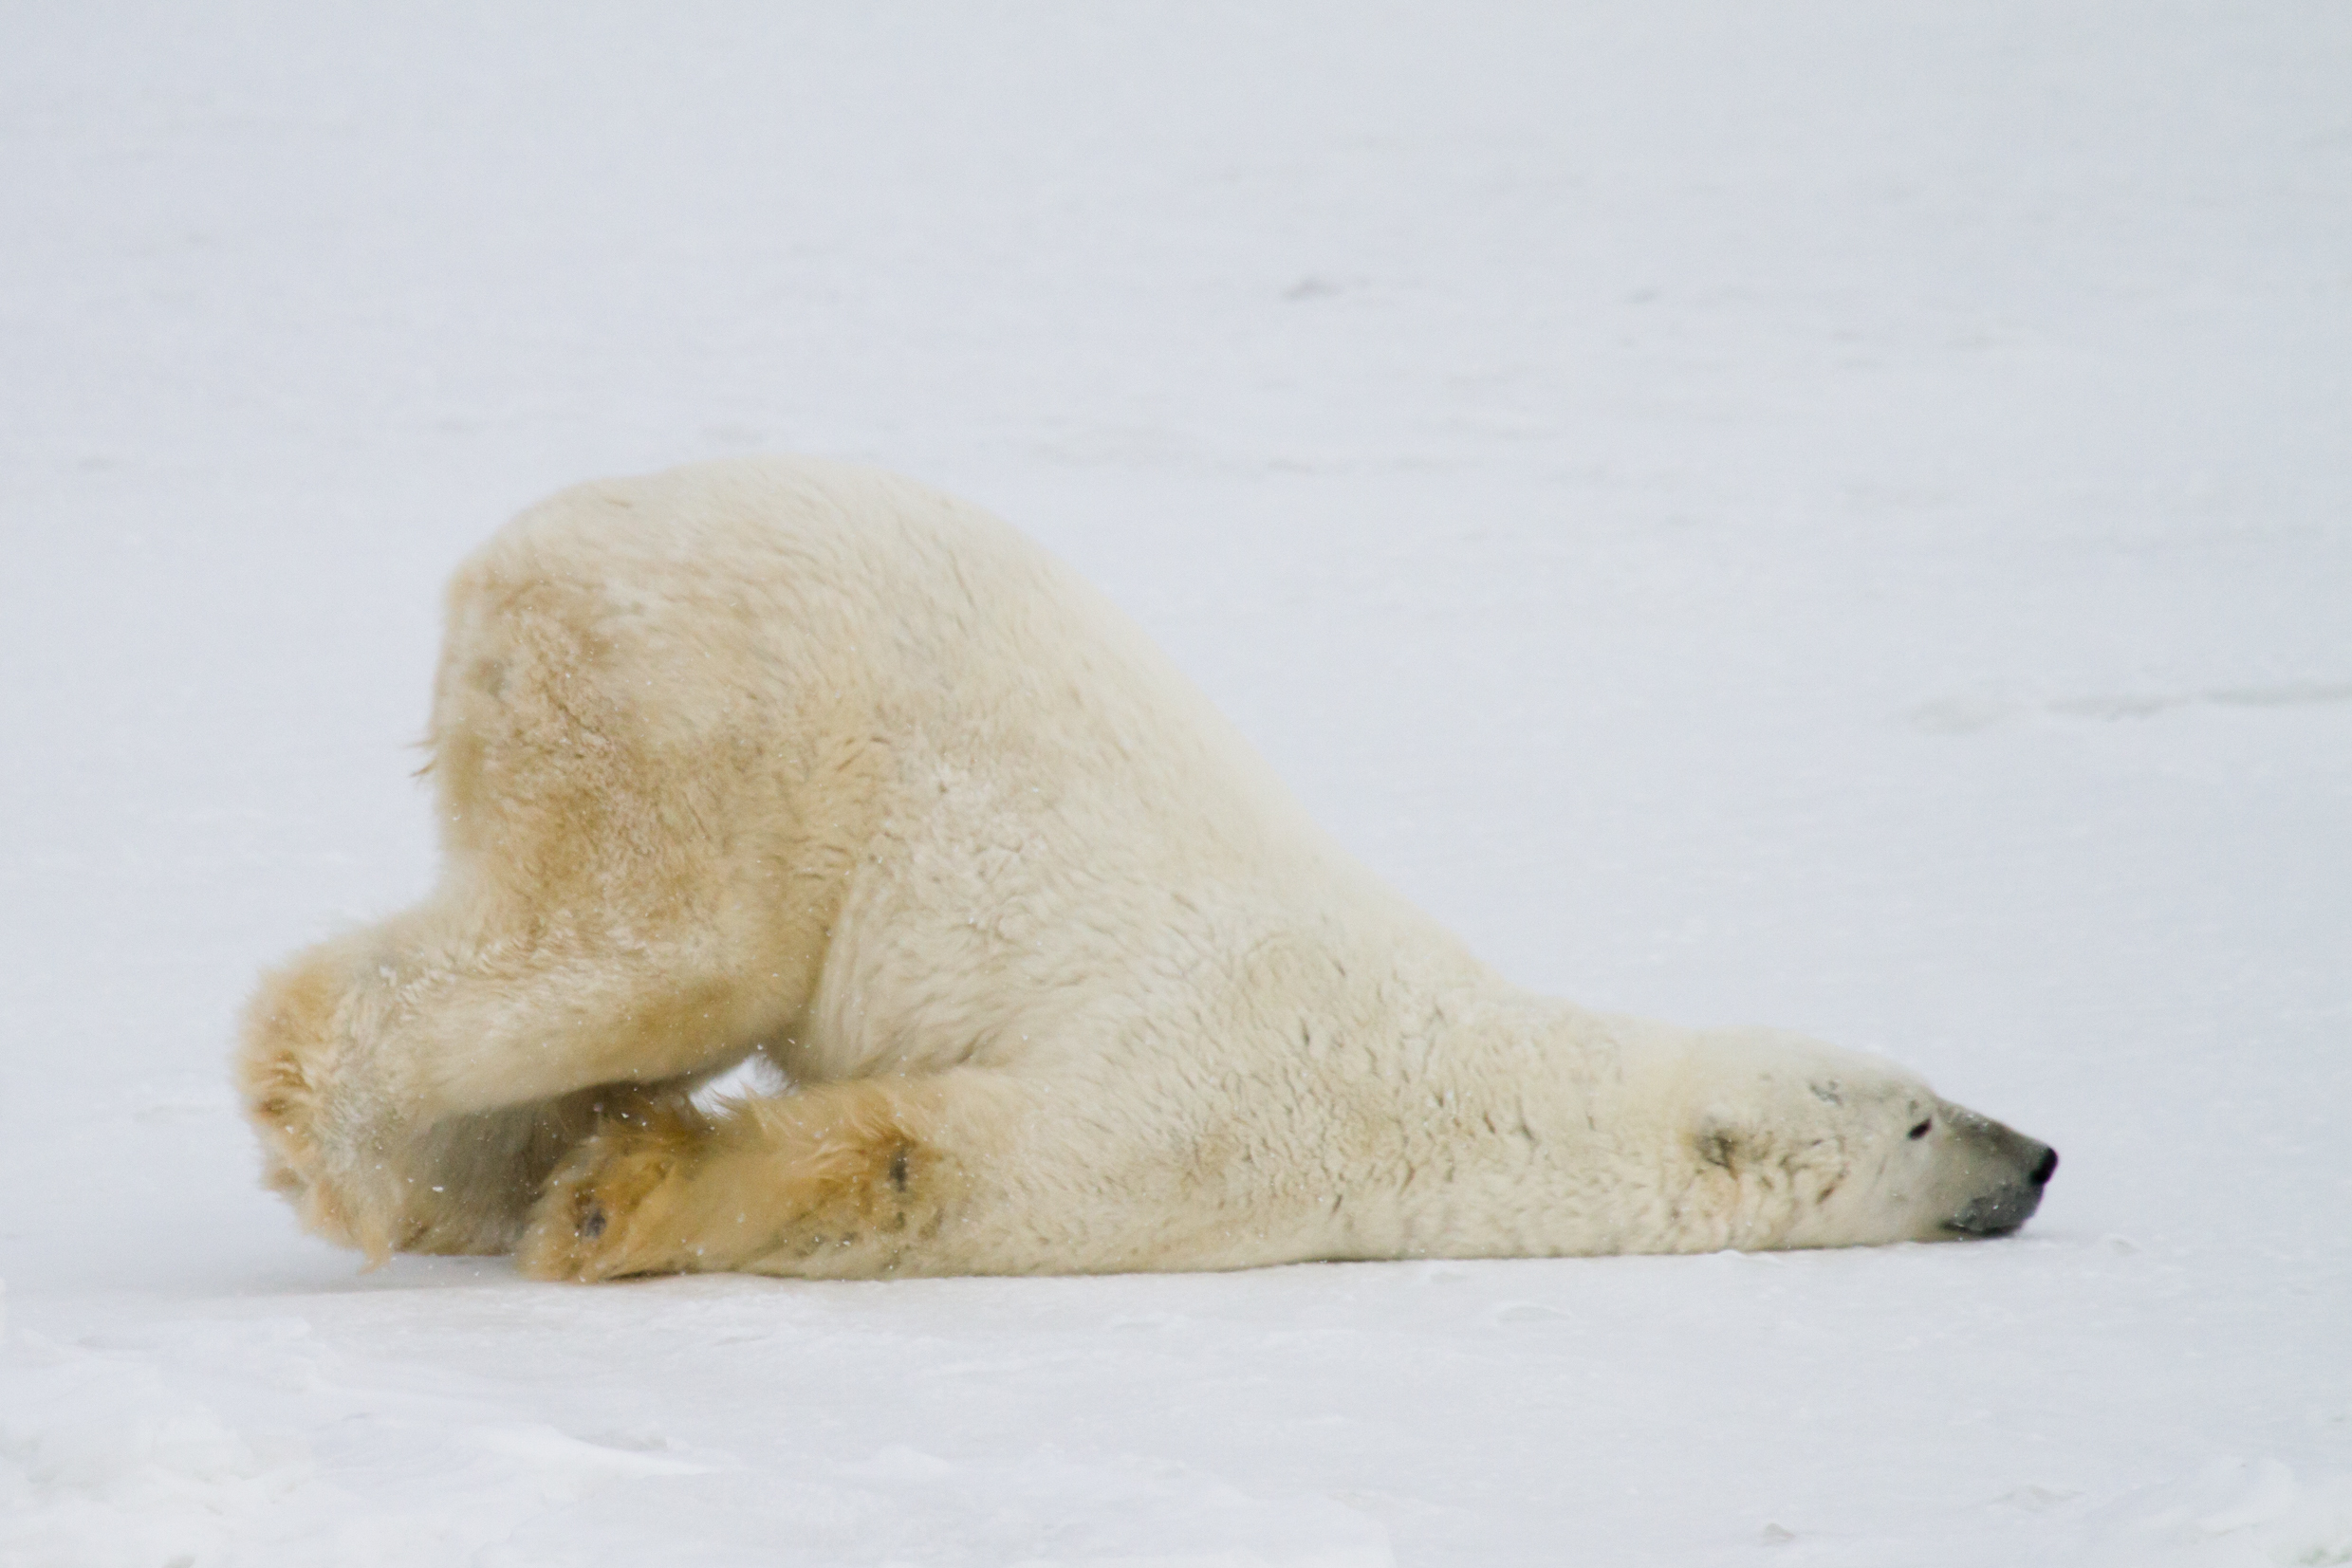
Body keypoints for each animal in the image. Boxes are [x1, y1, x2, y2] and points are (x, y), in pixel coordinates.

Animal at [236, 457, 2057, 1281]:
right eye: (1913, 1115)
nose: (2037, 1152)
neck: (1452, 1074)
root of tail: (517, 550)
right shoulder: (1217, 1108)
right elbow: (933, 1167)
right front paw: (621, 1202)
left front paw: (599, 1183)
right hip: (722, 711)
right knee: (651, 947)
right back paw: (354, 1139)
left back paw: (456, 1175)